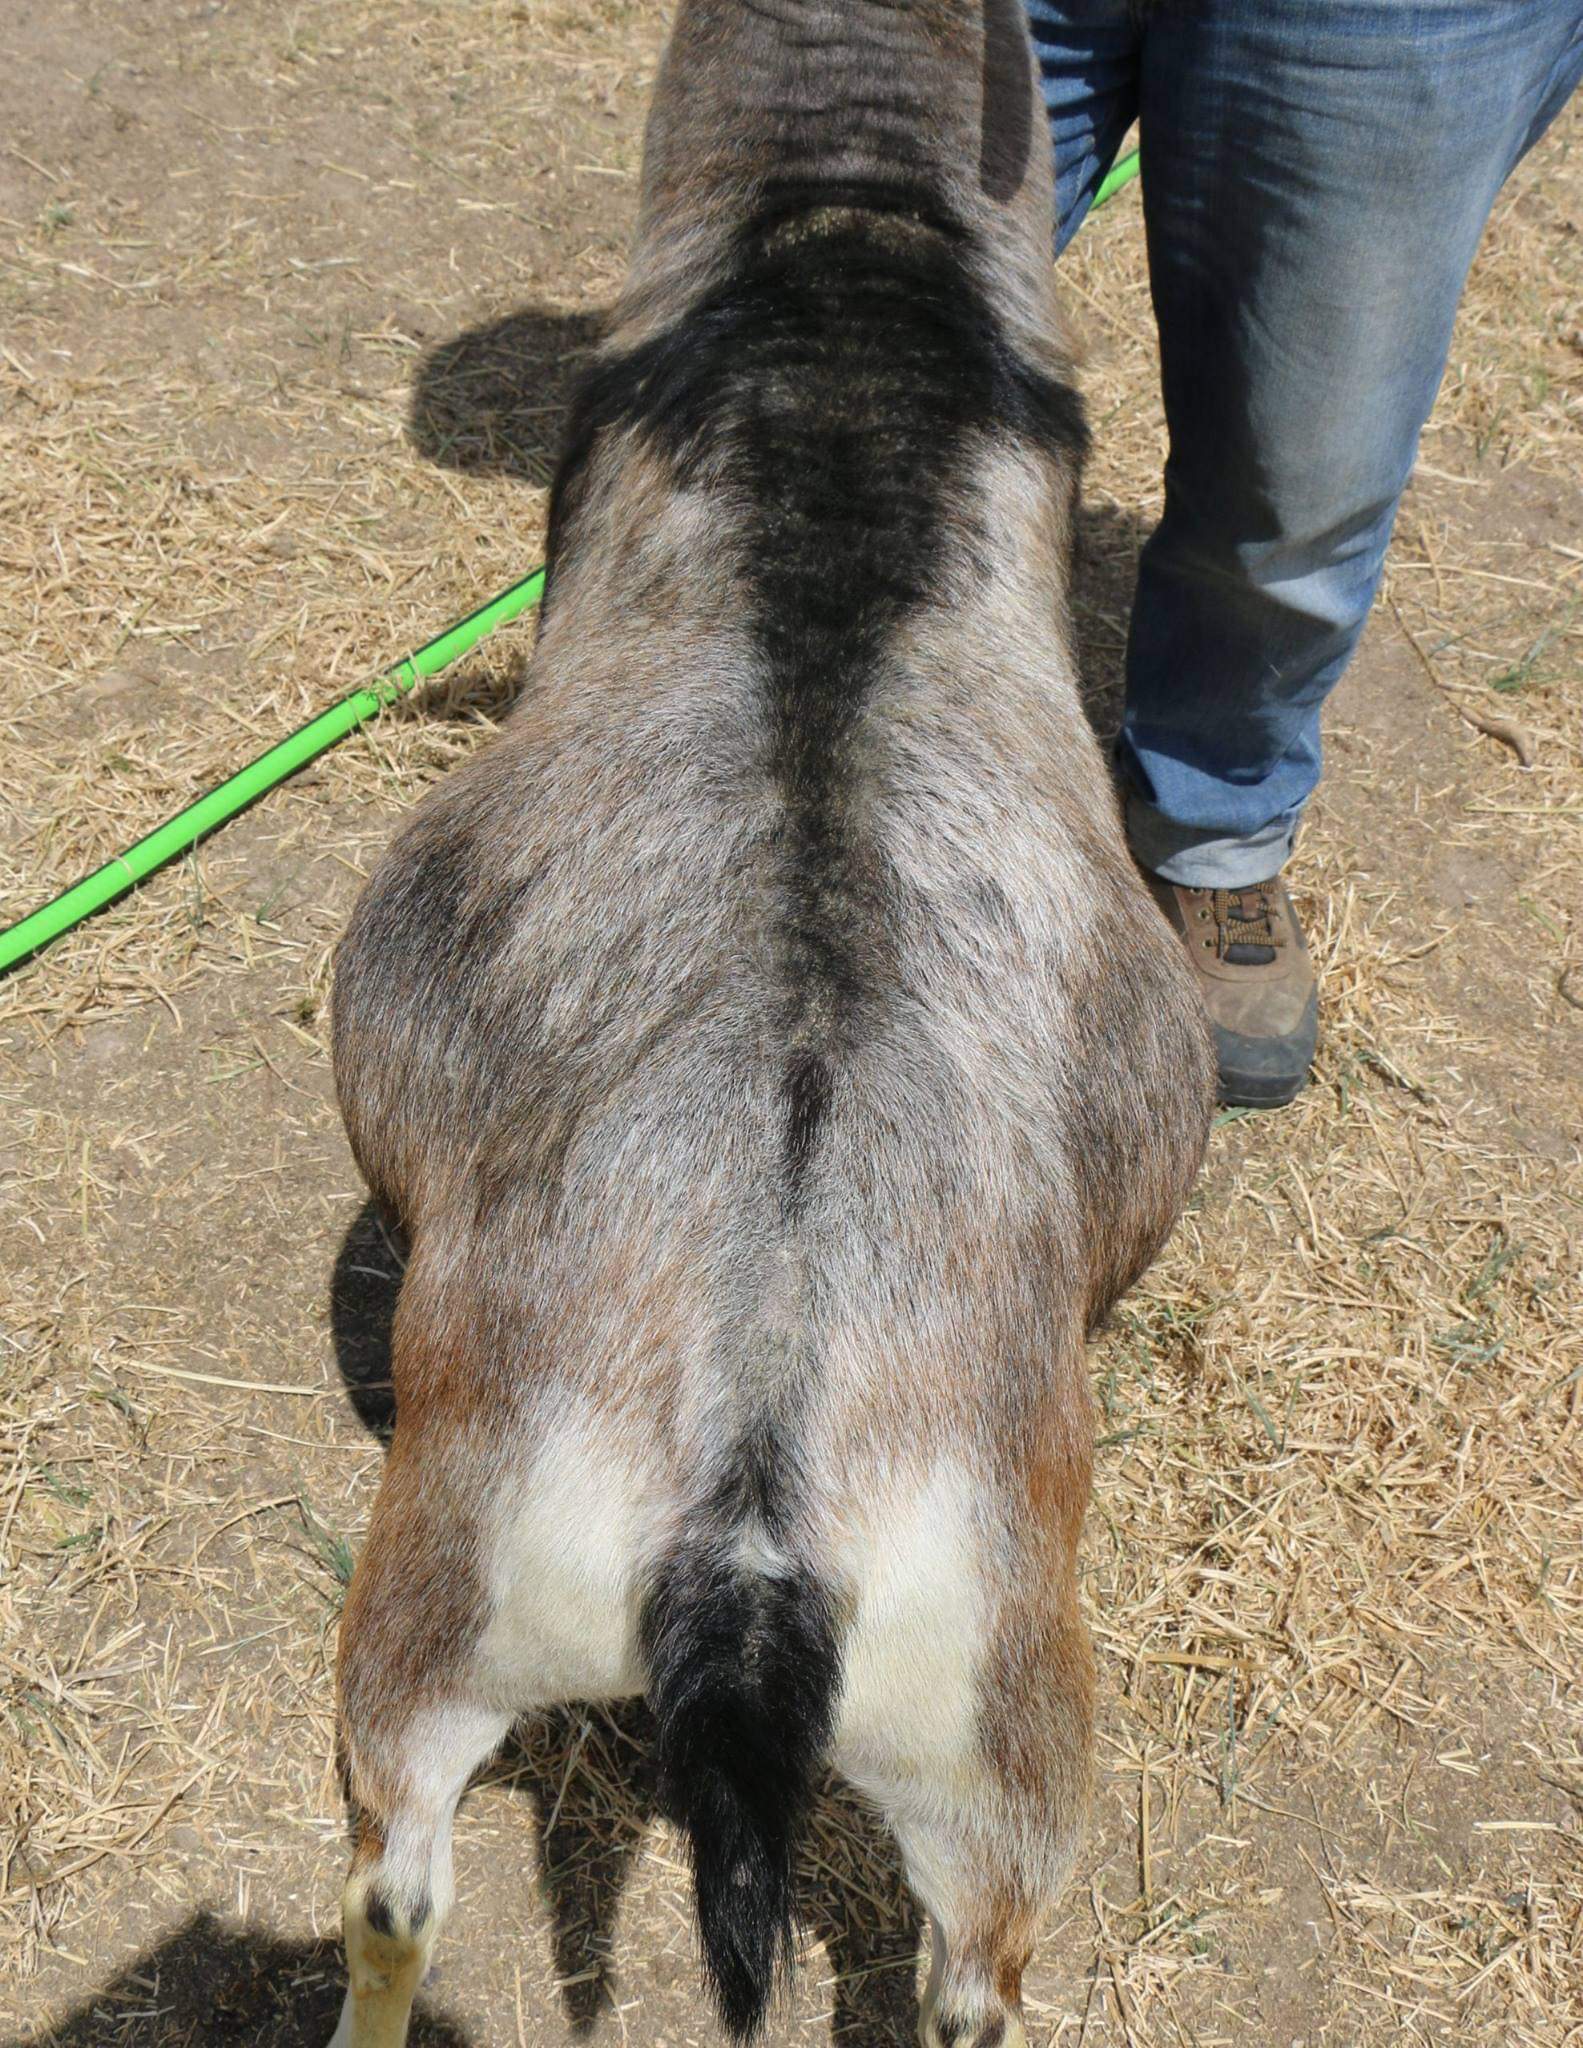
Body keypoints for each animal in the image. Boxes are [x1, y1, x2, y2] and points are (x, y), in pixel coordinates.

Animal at [327, 2, 1212, 2043]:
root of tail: (744, 1538)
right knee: (966, 1973)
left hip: (453, 1586)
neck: (847, 227)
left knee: (394, 1883)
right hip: (980, 1728)